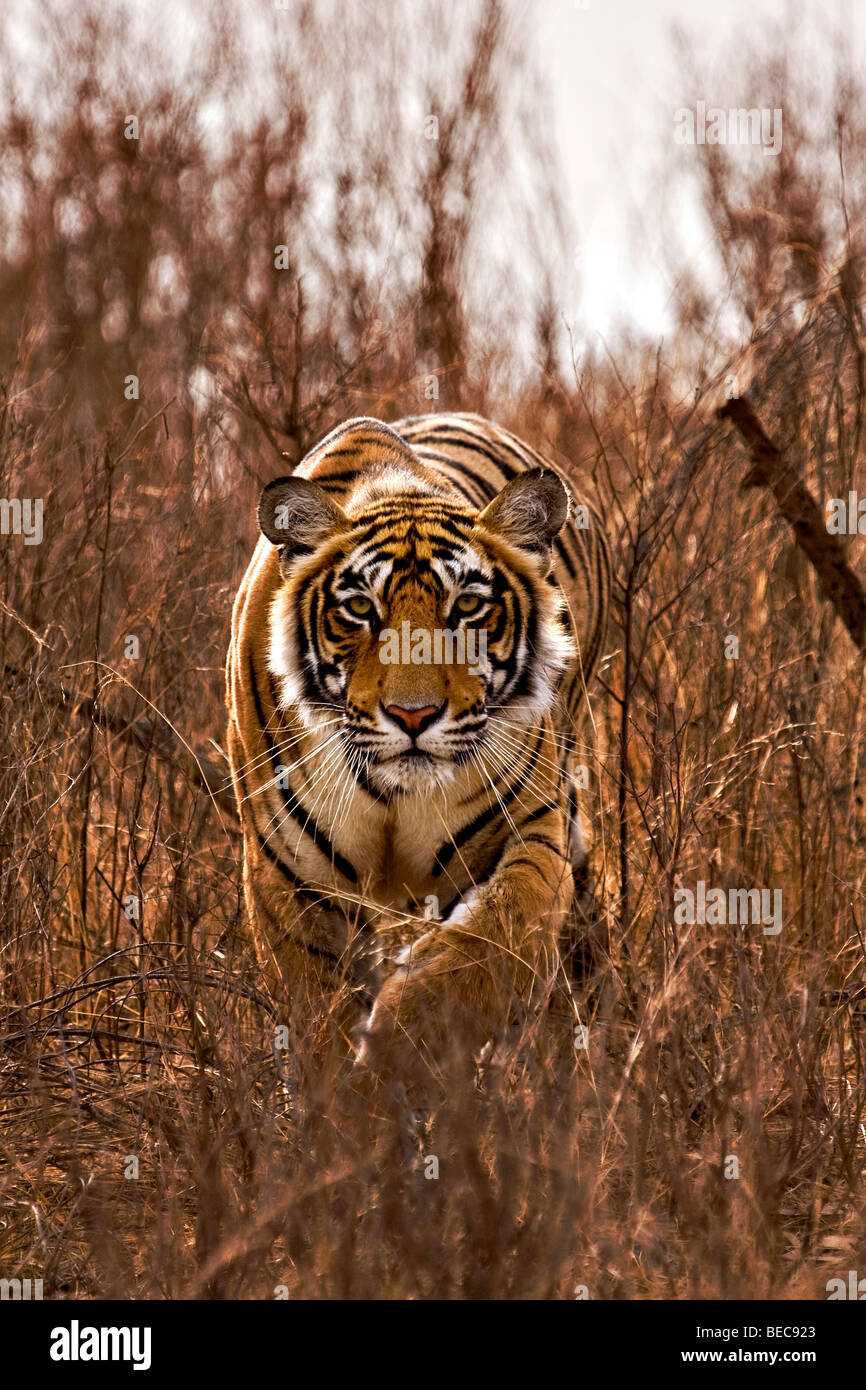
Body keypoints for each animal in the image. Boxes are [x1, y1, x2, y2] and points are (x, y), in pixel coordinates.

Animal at [226, 412, 610, 1096]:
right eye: (360, 609)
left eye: (468, 606)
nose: (412, 715)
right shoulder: (286, 875)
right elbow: (318, 1018)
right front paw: (342, 1116)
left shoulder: (533, 832)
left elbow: (482, 951)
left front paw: (390, 1068)